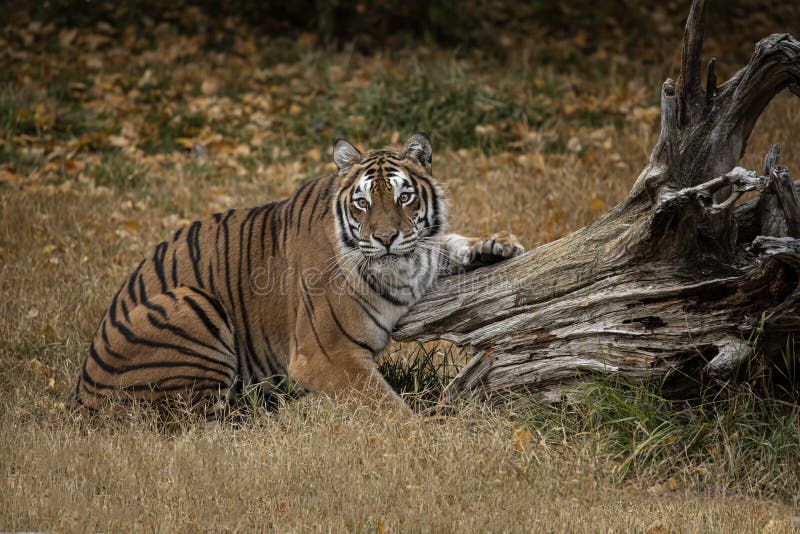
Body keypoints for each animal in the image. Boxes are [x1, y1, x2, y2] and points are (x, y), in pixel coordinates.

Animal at [75, 133, 524, 415]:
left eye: (404, 197)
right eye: (362, 203)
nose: (385, 238)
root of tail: (79, 400)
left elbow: (445, 244)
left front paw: (496, 244)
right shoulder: (327, 354)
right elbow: (386, 406)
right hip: (190, 302)